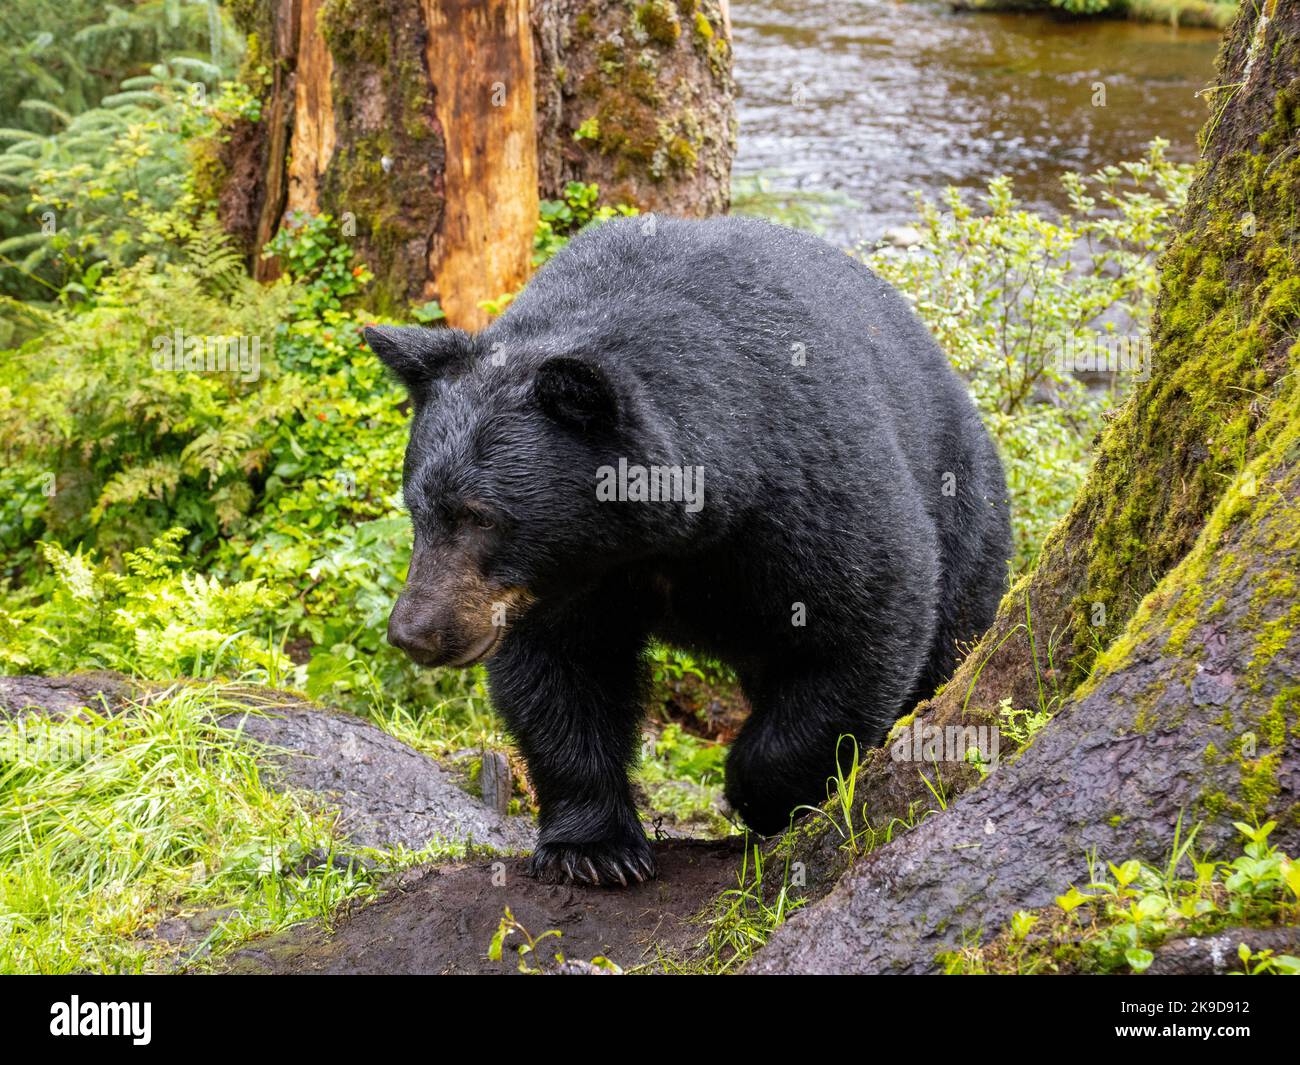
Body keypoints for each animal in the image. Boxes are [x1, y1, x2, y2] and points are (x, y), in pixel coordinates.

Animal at [364, 215, 1011, 887]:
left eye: (481, 516)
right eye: (419, 507)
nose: (414, 632)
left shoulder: (810, 486)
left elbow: (863, 623)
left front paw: (762, 795)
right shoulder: (563, 579)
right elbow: (559, 668)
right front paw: (594, 849)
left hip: (966, 506)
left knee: (954, 639)